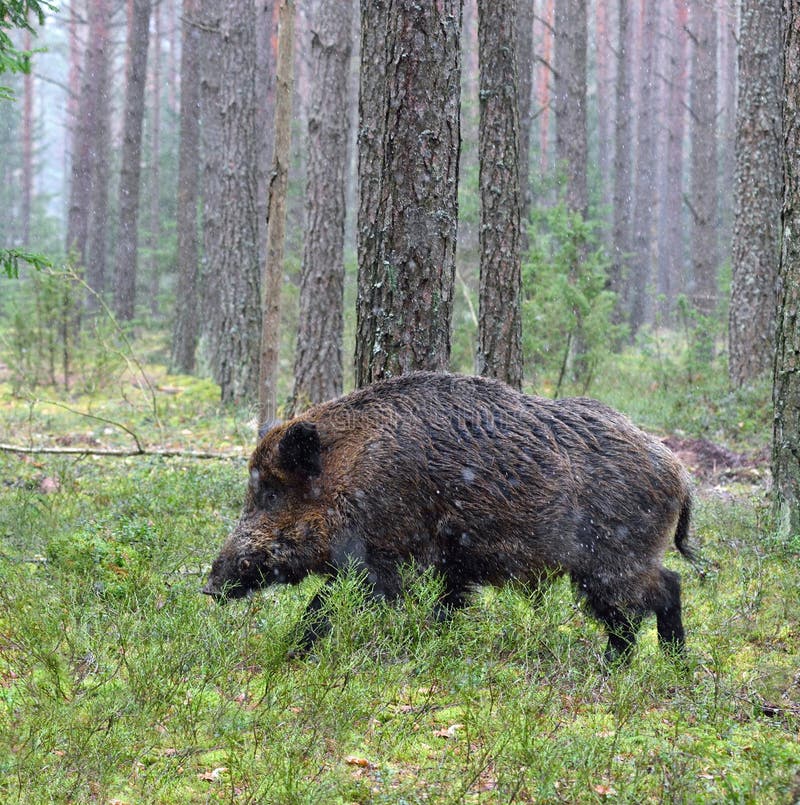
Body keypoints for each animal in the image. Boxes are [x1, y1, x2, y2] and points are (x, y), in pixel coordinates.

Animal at [203, 371, 695, 663]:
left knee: (649, 599)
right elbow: (446, 605)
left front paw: (292, 654)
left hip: (612, 560)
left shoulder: (382, 556)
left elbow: (326, 605)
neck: (355, 470)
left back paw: (632, 666)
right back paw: (659, 665)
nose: (208, 586)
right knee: (654, 596)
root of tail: (678, 471)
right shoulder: (451, 564)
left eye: (270, 493)